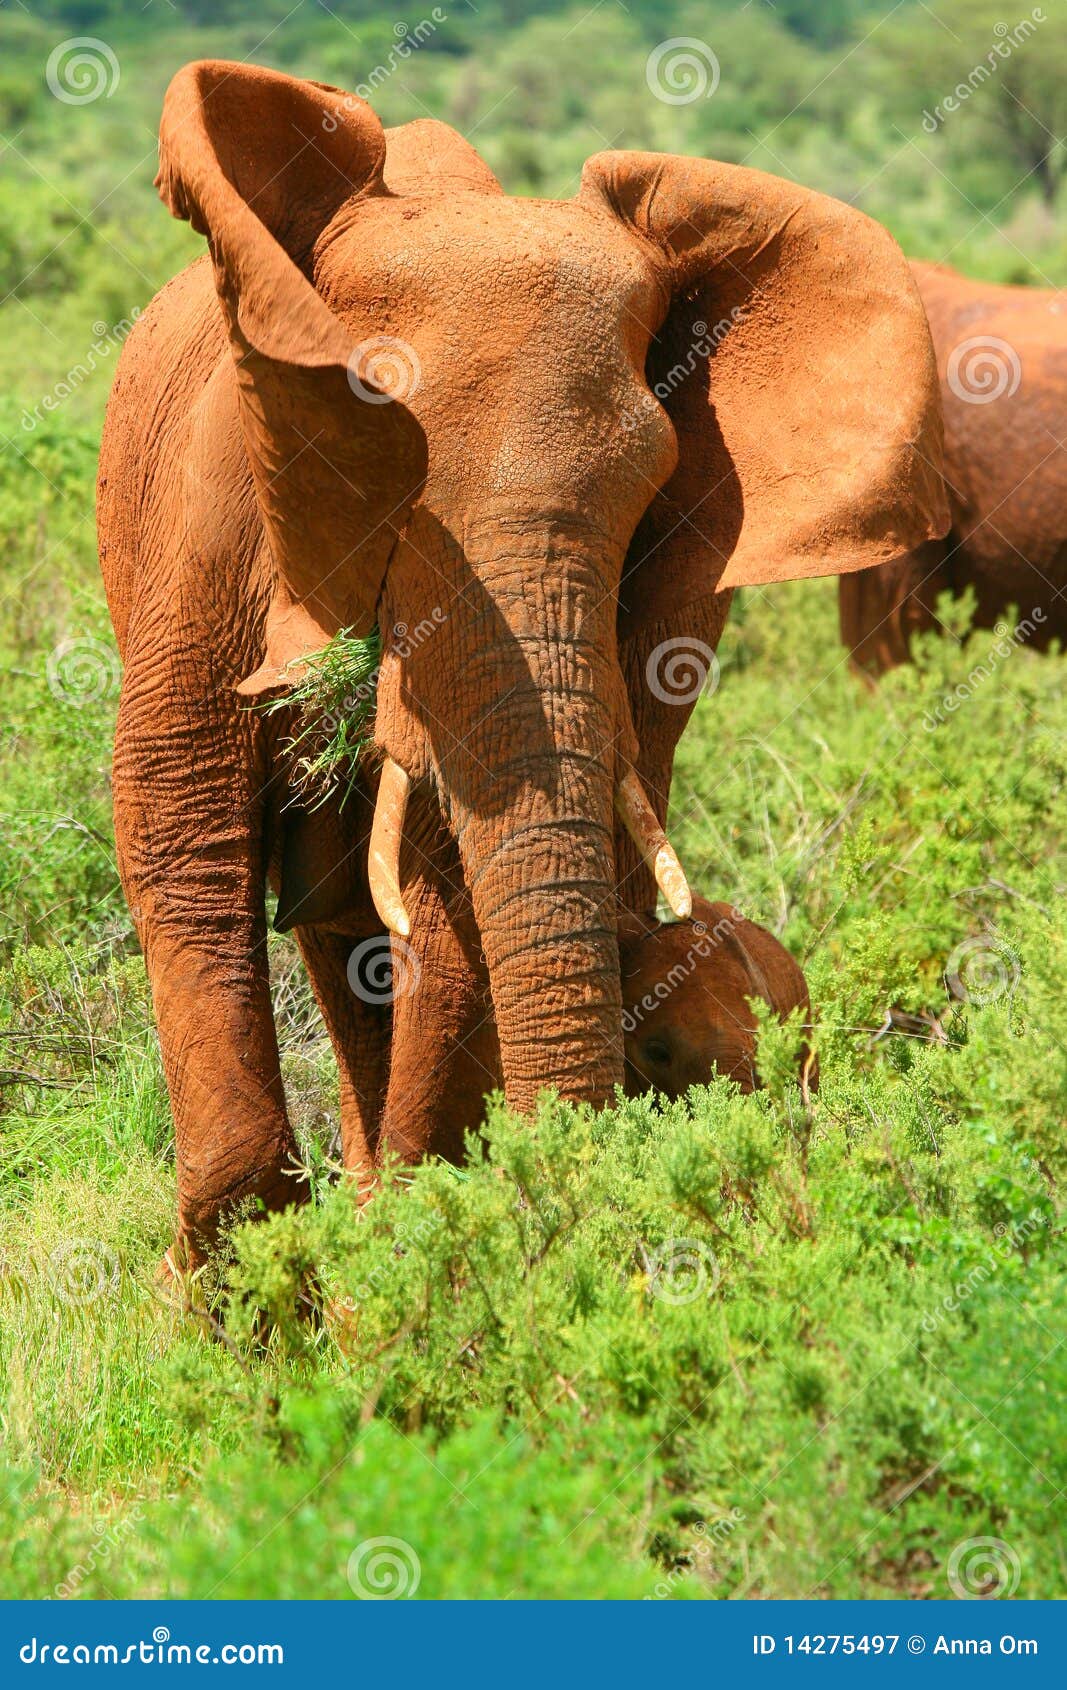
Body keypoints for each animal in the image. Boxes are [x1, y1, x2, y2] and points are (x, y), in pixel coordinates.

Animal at [97, 60, 945, 1264]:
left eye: (646, 488)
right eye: (381, 485)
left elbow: (448, 888)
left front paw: (402, 1264)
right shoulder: (203, 523)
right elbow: (179, 824)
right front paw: (247, 1297)